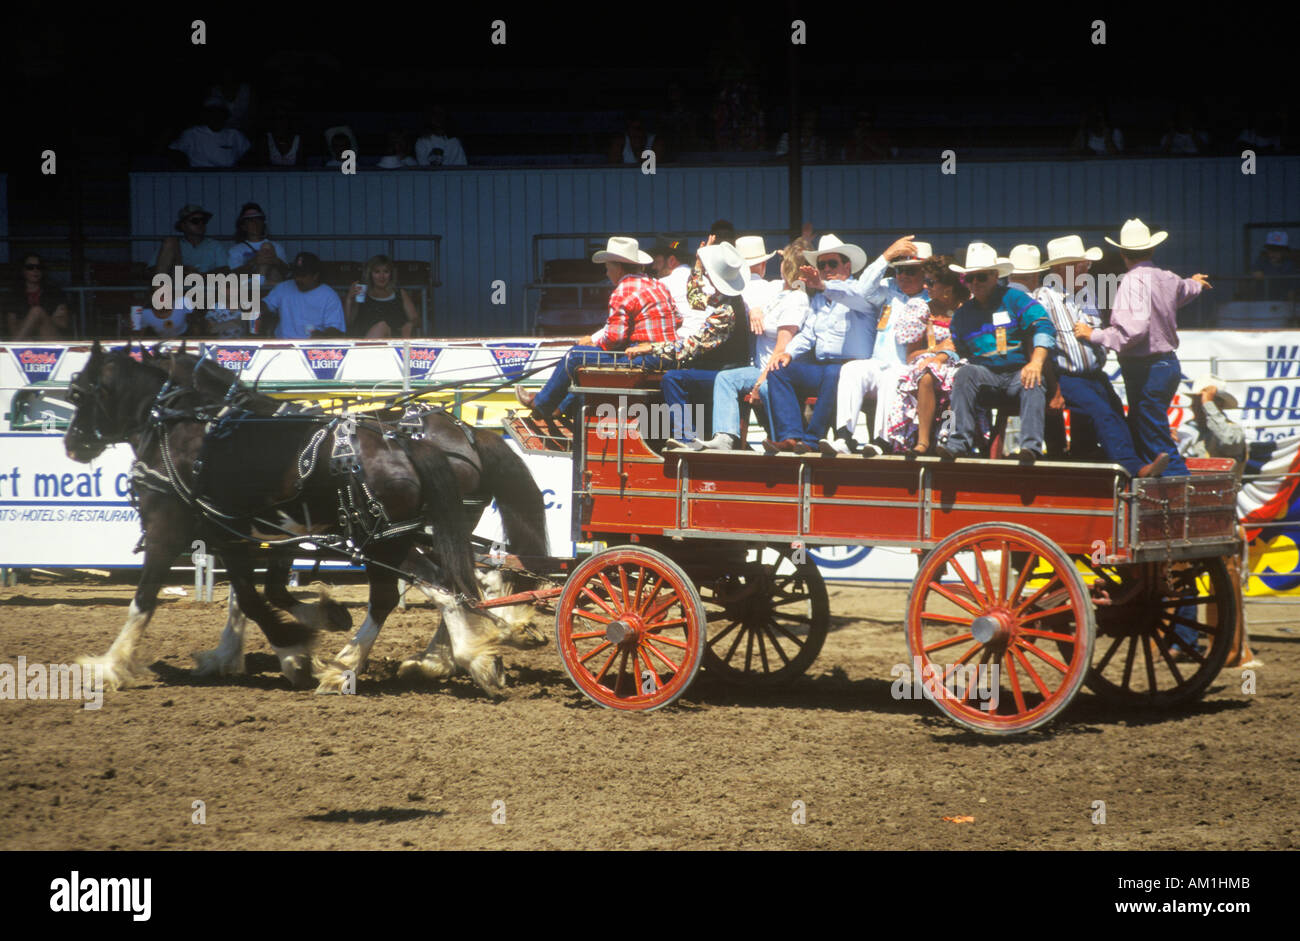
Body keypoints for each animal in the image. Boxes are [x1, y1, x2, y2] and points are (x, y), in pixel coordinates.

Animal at [63, 341, 530, 696]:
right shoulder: (238, 534)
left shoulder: (170, 528)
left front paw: (108, 666)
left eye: (79, 393)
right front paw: (277, 643)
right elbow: (249, 595)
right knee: (464, 580)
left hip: (387, 539)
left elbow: (148, 598)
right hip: (407, 536)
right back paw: (474, 646)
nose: (72, 444)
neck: (187, 427)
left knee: (427, 588)